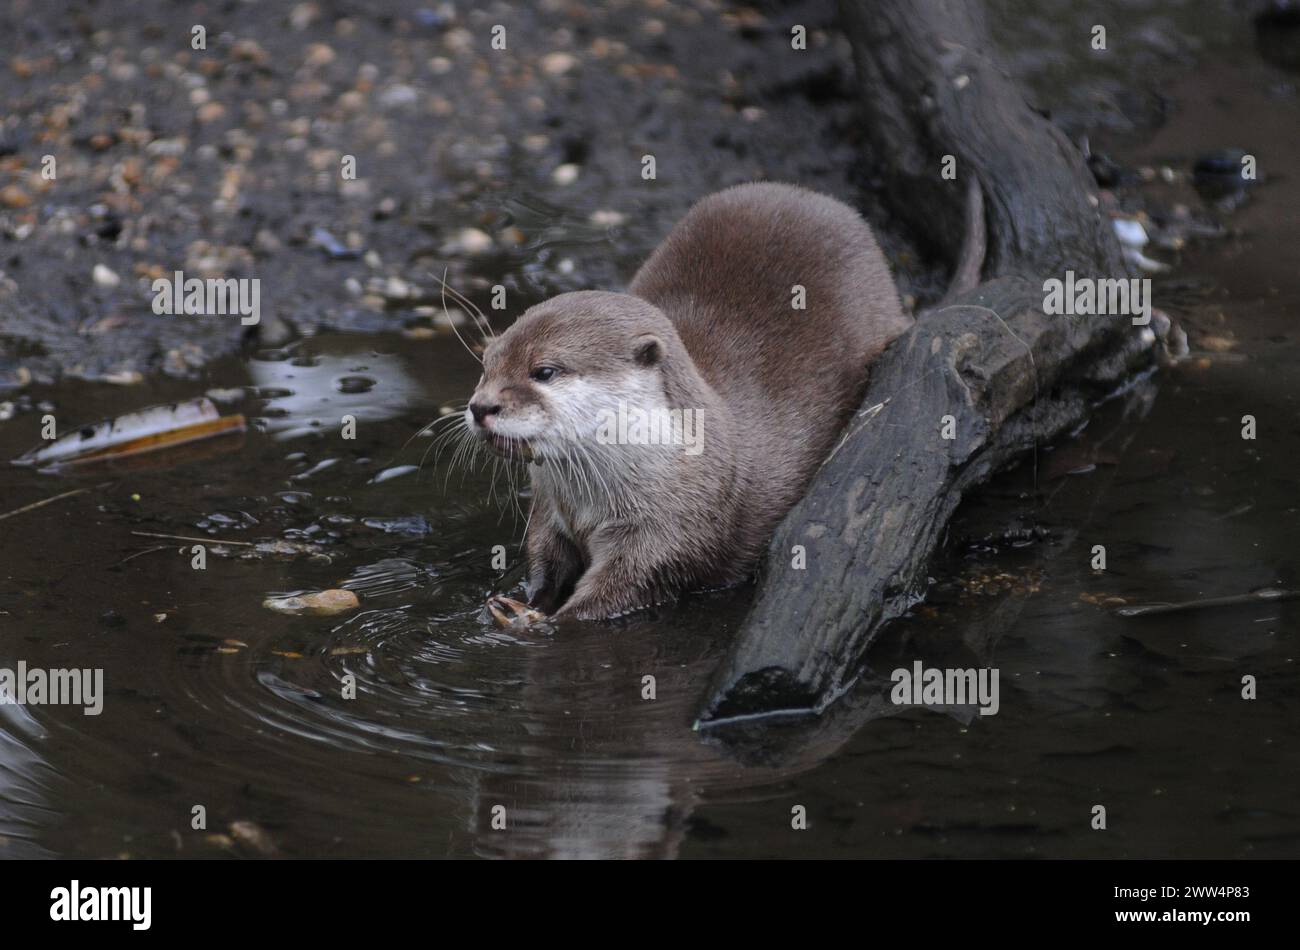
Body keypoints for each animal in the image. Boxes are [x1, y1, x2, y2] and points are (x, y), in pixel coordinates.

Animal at [465, 182, 911, 622]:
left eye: (544, 371)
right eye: (487, 364)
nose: (480, 407)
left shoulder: (669, 533)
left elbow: (621, 590)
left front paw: (542, 620)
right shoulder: (550, 511)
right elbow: (545, 556)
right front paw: (526, 599)